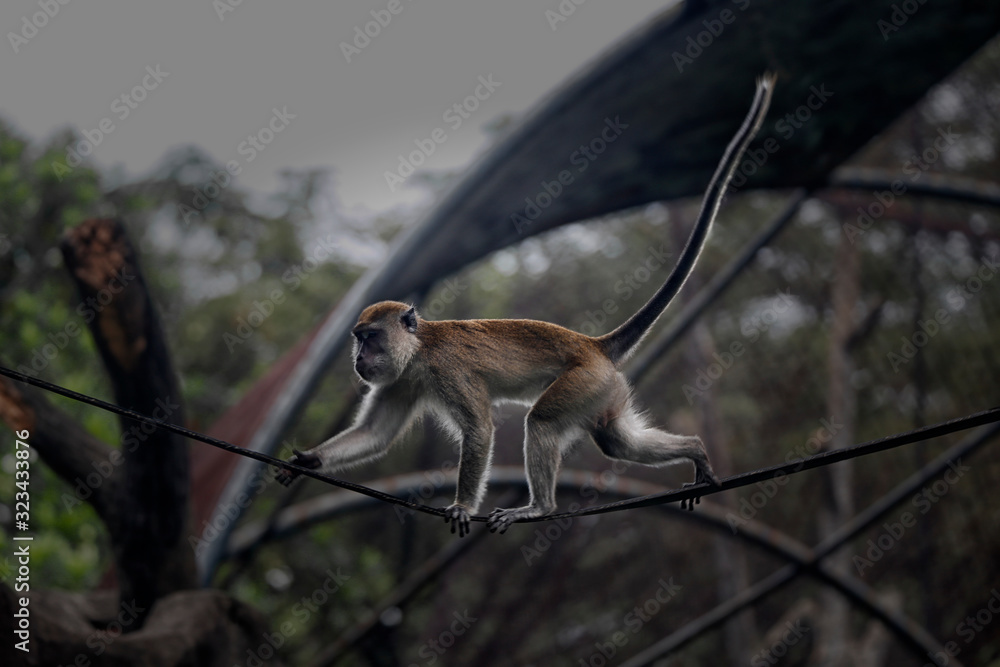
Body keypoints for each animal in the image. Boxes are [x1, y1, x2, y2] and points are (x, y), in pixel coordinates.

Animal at [276, 74, 776, 537]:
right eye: (358, 340)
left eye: (370, 338)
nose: (360, 358)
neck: (418, 353)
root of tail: (593, 344)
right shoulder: (400, 380)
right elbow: (375, 435)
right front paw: (309, 460)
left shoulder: (446, 369)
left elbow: (479, 430)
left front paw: (462, 505)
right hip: (606, 389)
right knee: (616, 442)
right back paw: (695, 450)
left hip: (584, 380)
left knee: (542, 422)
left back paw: (541, 507)